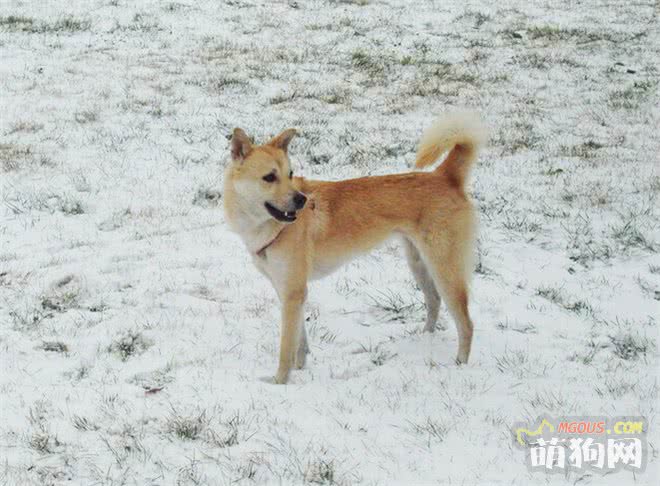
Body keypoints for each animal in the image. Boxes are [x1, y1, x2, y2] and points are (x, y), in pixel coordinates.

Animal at [224, 111, 488, 384]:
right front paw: (301, 366)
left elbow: (287, 346)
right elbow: (300, 339)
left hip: (446, 268)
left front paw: (280, 382)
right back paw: (425, 338)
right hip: (418, 262)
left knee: (466, 323)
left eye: (290, 173)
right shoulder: (288, 290)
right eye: (269, 177)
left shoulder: (293, 292)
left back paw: (459, 365)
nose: (302, 200)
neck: (271, 226)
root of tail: (445, 176)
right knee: (433, 300)